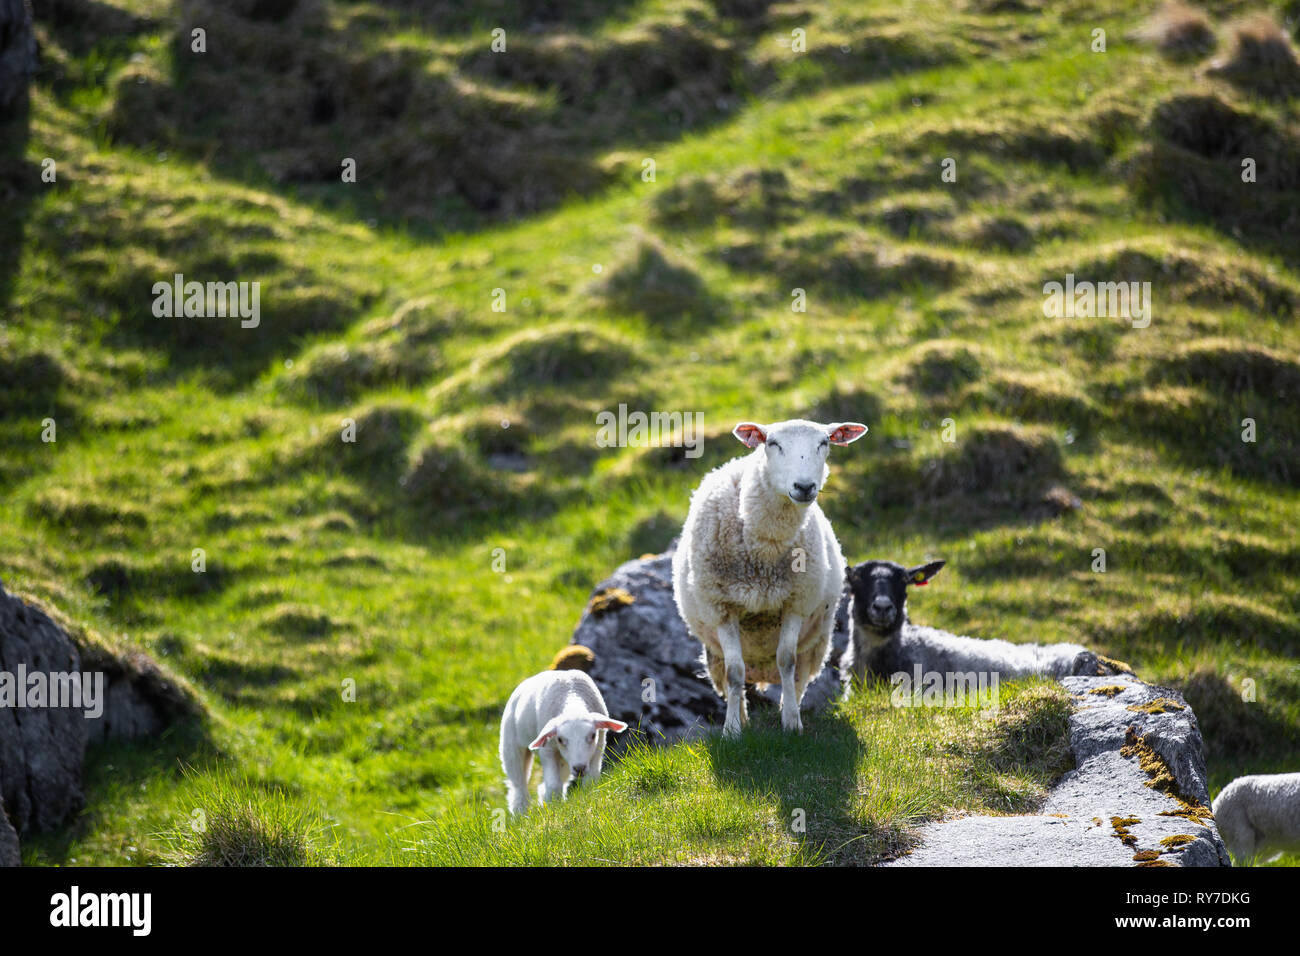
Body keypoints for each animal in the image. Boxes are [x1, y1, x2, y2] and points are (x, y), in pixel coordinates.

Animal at [499, 669, 627, 816]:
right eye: (560, 739)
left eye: (593, 735)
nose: (579, 768)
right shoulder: (547, 750)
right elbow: (554, 785)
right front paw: (553, 809)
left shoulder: (598, 747)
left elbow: (591, 778)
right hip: (511, 745)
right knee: (518, 784)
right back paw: (520, 813)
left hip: (564, 760)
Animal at [672, 418, 868, 737]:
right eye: (773, 443)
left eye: (824, 443)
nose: (804, 486)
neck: (765, 549)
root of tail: (761, 669)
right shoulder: (722, 607)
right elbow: (734, 672)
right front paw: (732, 731)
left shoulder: (795, 603)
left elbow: (787, 661)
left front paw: (791, 723)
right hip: (713, 652)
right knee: (731, 676)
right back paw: (741, 717)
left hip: (816, 643)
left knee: (799, 674)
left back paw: (789, 707)